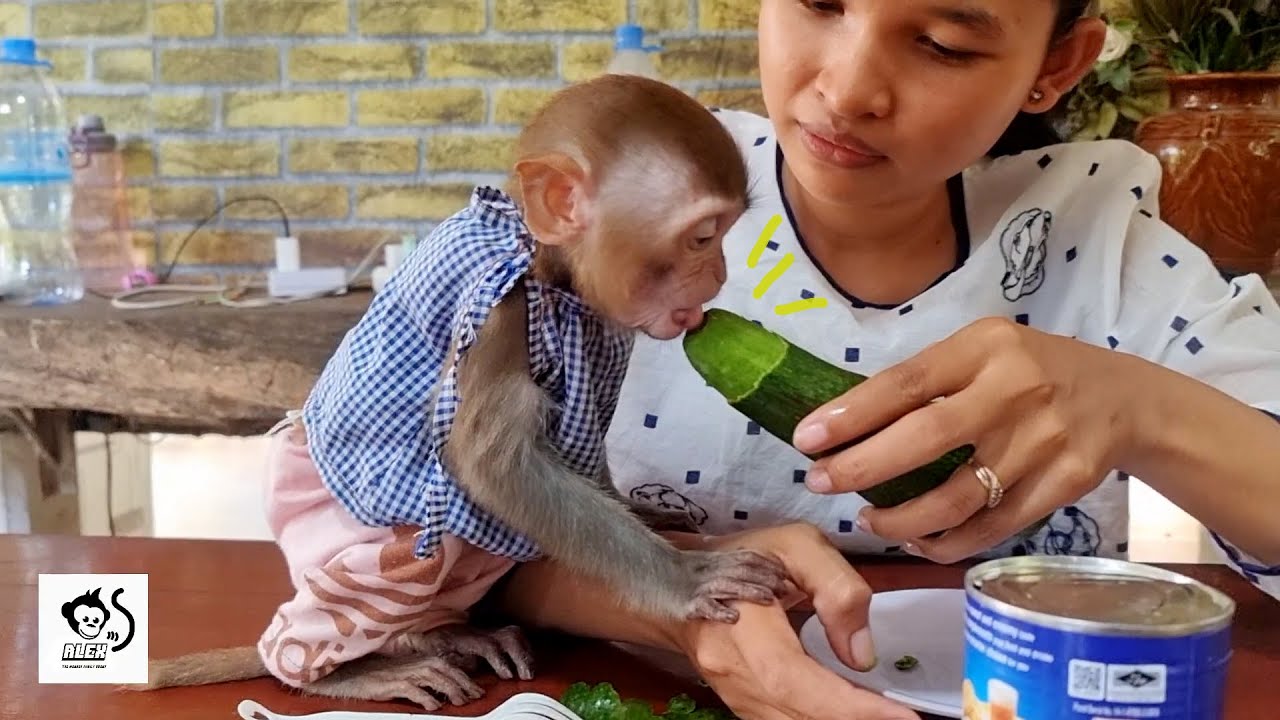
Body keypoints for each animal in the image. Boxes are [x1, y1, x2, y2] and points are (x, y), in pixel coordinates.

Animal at [131, 73, 788, 710]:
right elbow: (491, 463)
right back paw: (347, 669)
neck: (546, 267)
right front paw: (685, 576)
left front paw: (644, 510)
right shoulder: (495, 311)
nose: (718, 276)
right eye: (702, 238)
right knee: (417, 551)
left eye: (722, 236)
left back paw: (443, 633)